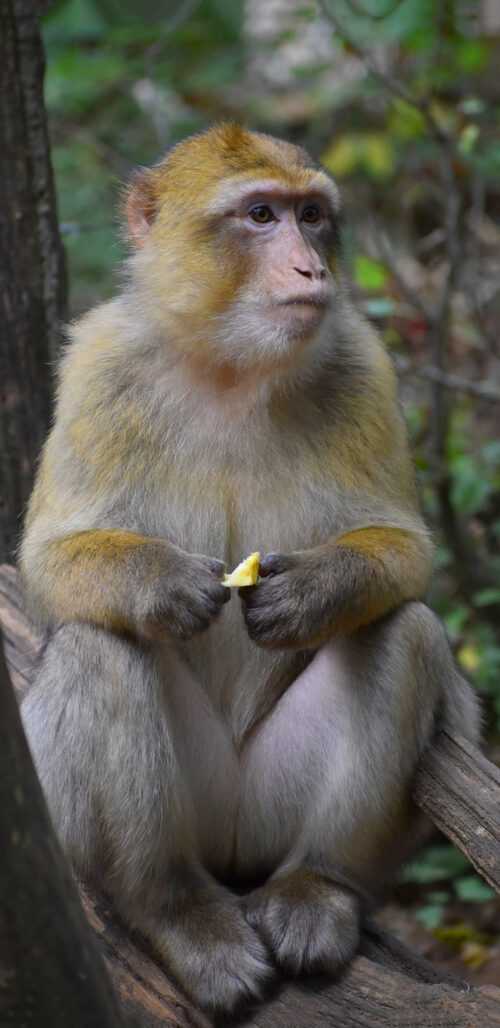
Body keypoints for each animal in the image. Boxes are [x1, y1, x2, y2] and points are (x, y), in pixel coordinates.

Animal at [20, 123, 480, 1017]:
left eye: (311, 216)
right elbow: (47, 561)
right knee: (100, 648)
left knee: (403, 634)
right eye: (260, 215)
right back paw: (176, 912)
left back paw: (317, 887)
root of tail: (232, 848)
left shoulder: (364, 360)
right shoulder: (95, 362)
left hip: (270, 808)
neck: (229, 362)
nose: (311, 269)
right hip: (175, 811)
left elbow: (407, 554)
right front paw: (158, 583)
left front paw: (313, 592)